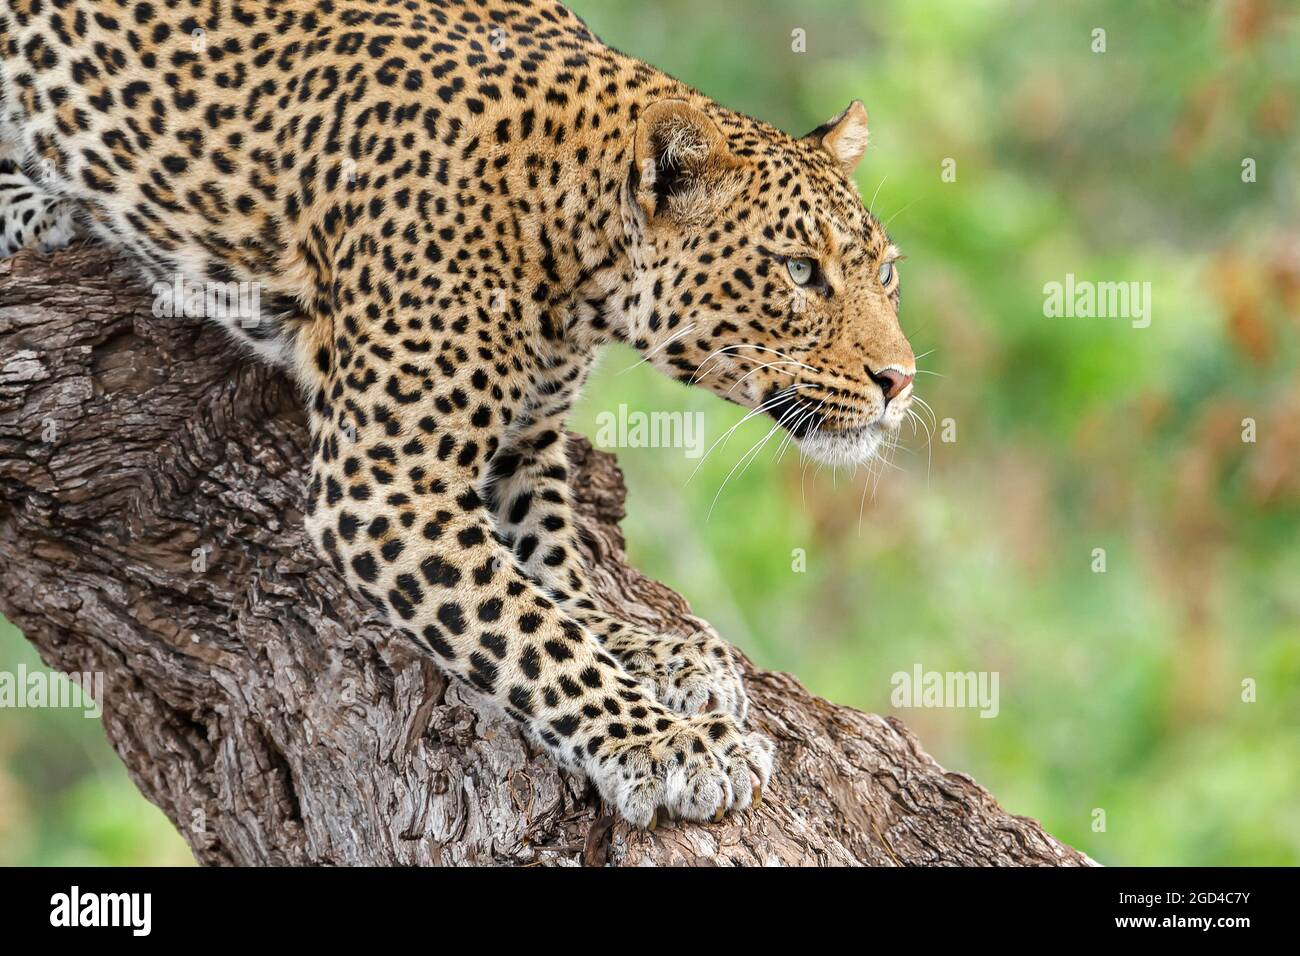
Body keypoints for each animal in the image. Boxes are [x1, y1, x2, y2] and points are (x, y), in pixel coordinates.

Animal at [0, 0, 917, 829]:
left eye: (886, 272)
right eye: (798, 270)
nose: (901, 381)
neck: (579, 254)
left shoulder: (525, 447)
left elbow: (557, 583)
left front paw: (658, 653)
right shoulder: (388, 482)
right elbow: (531, 635)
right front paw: (669, 746)